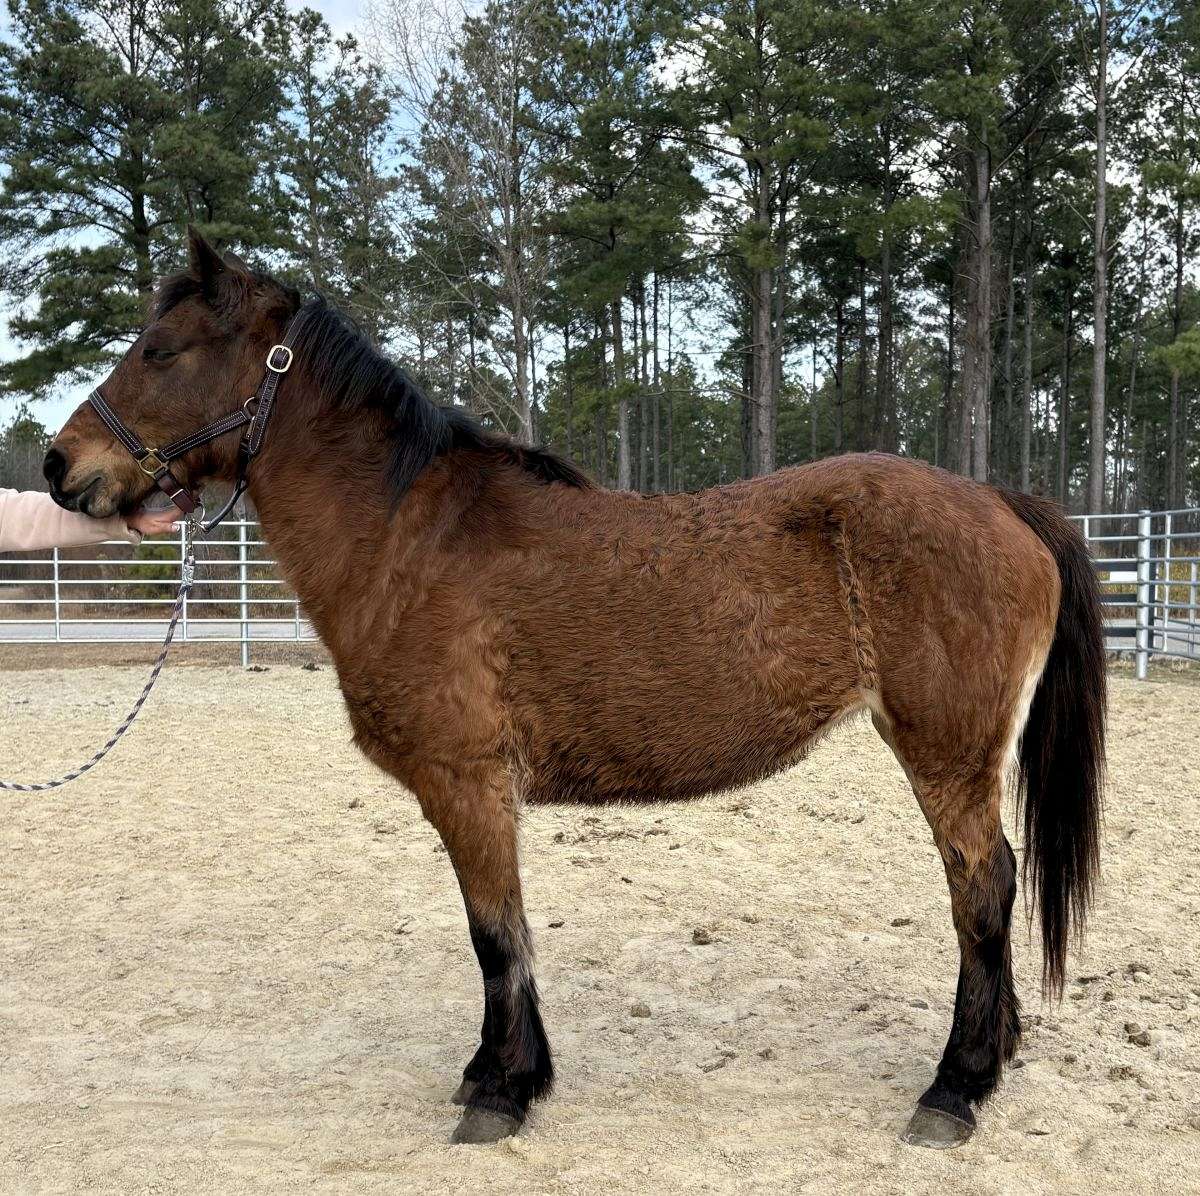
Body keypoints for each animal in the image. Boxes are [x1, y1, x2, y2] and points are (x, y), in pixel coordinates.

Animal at [45, 230, 1106, 1148]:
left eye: (159, 349)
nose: (61, 466)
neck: (409, 539)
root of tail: (1000, 499)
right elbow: (500, 932)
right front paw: (495, 1072)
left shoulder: (469, 786)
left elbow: (495, 935)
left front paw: (504, 1090)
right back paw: (992, 1056)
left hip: (945, 755)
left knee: (981, 889)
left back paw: (955, 1088)